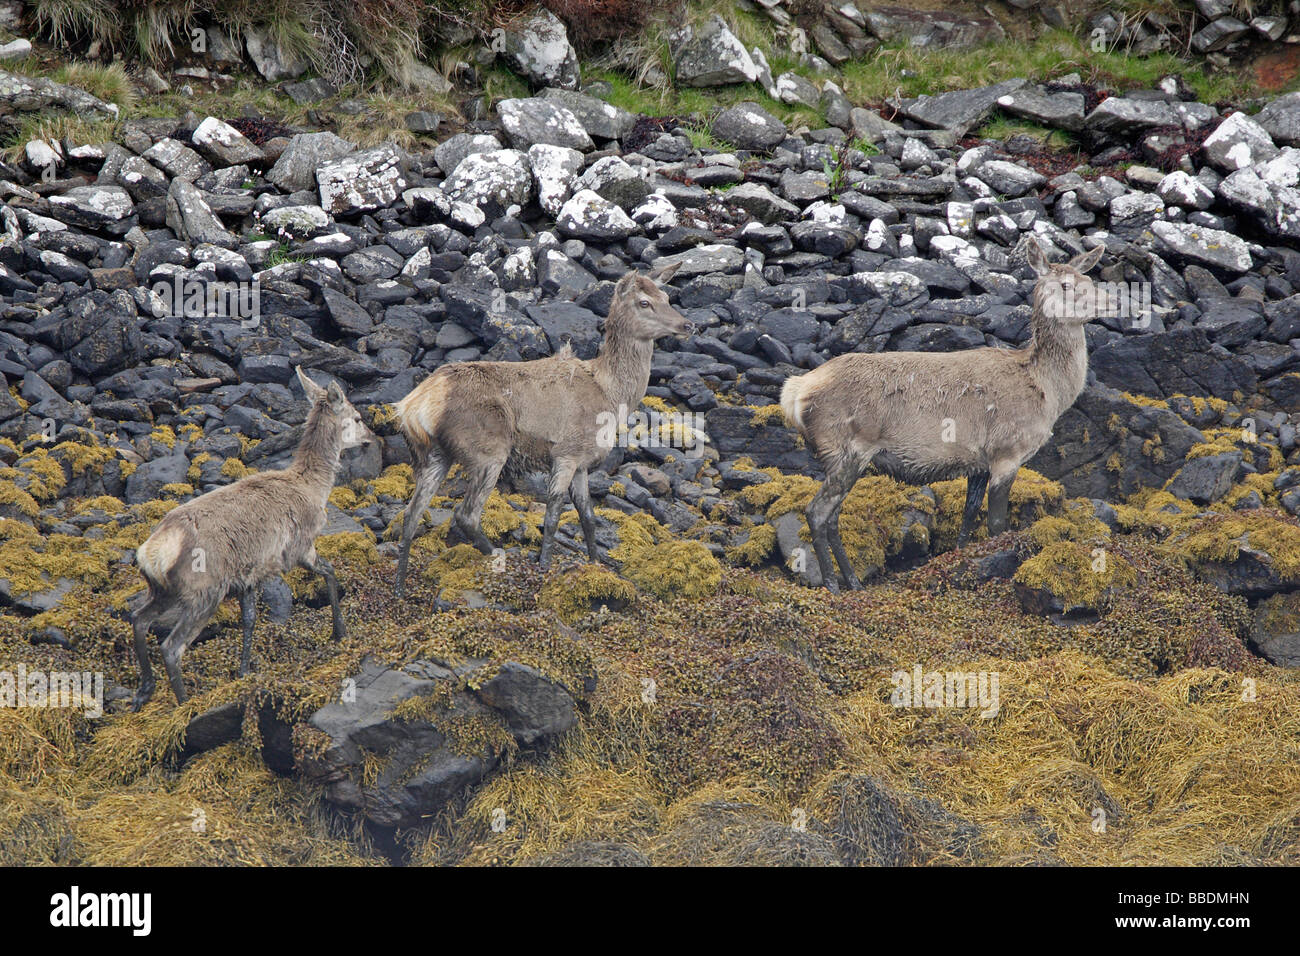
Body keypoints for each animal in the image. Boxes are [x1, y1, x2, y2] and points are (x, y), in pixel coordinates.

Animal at [129, 367, 376, 709]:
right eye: (356, 417)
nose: (372, 437)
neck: (315, 489)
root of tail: (152, 553)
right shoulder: (298, 549)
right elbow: (330, 570)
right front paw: (340, 631)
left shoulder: (248, 576)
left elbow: (249, 618)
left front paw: (244, 670)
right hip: (204, 591)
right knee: (171, 646)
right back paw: (185, 704)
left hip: (163, 590)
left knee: (138, 619)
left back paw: (145, 690)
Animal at [392, 262, 687, 597]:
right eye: (644, 302)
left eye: (666, 296)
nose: (687, 324)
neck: (611, 396)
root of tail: (414, 408)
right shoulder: (565, 452)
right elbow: (554, 512)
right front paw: (546, 567)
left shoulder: (583, 462)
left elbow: (587, 515)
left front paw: (597, 565)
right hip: (488, 449)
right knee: (466, 515)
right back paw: (503, 562)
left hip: (435, 455)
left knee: (411, 513)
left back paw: (400, 588)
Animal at [779, 237, 1106, 592]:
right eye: (1066, 284)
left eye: (1088, 279)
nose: (1113, 302)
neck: (1048, 392)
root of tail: (794, 393)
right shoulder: (1007, 451)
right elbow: (997, 525)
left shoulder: (978, 462)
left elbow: (968, 520)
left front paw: (961, 565)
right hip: (846, 449)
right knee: (816, 511)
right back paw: (832, 583)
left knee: (833, 516)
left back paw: (853, 581)